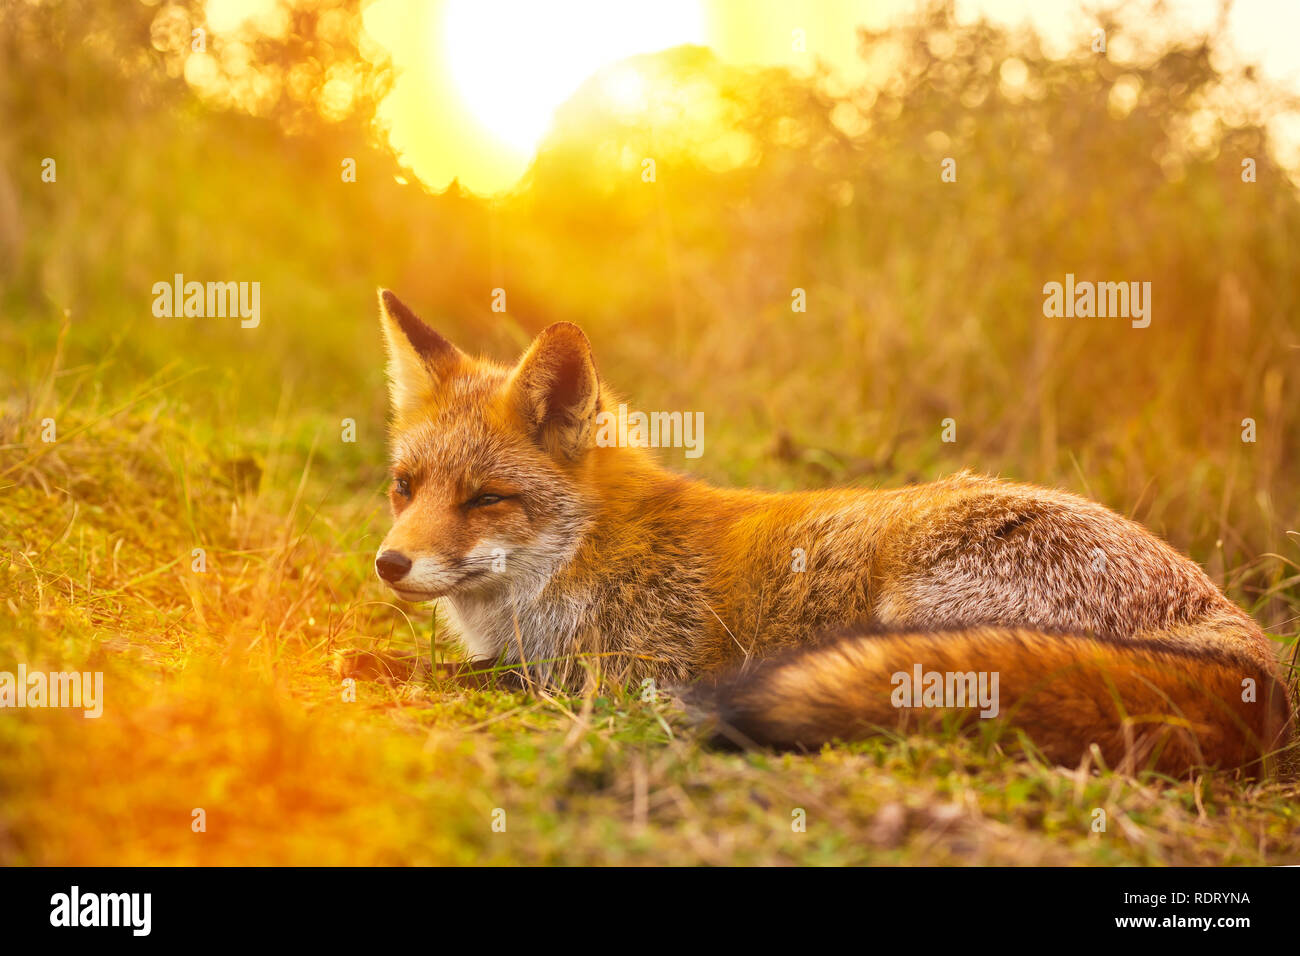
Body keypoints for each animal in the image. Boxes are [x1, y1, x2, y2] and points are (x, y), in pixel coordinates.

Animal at [372, 289, 1294, 777]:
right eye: (405, 487)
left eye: (486, 499)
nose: (389, 563)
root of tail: (1238, 634)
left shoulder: (611, 673)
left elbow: (461, 675)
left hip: (920, 603)